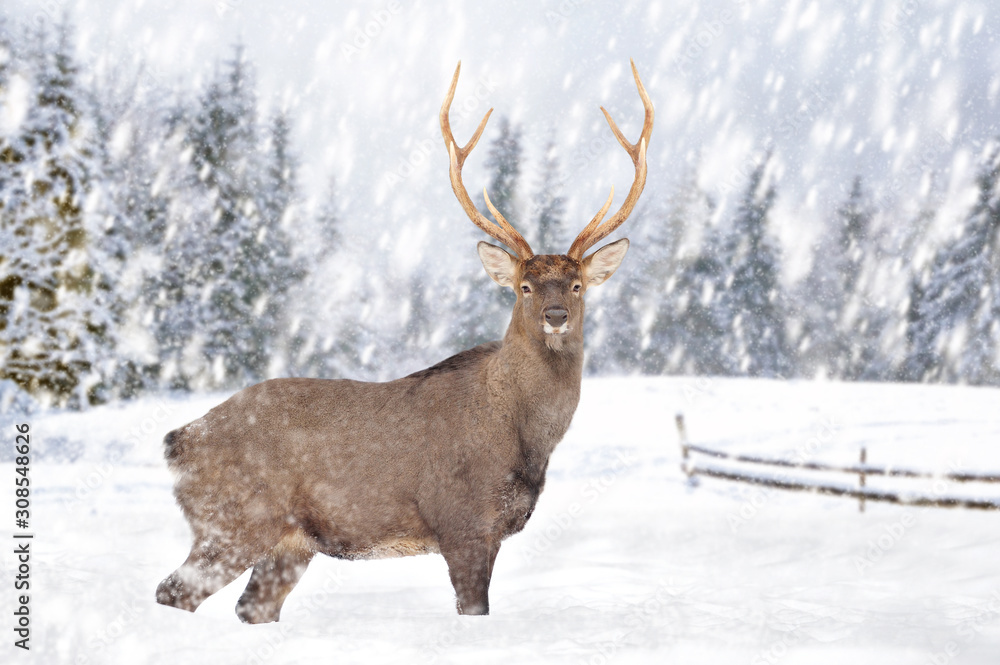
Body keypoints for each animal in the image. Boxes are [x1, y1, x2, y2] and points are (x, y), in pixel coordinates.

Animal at [155, 60, 653, 622]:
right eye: (524, 286)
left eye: (576, 284)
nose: (555, 315)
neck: (520, 433)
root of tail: (180, 440)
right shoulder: (462, 520)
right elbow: (473, 609)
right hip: (235, 519)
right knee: (173, 592)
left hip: (290, 543)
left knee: (250, 608)